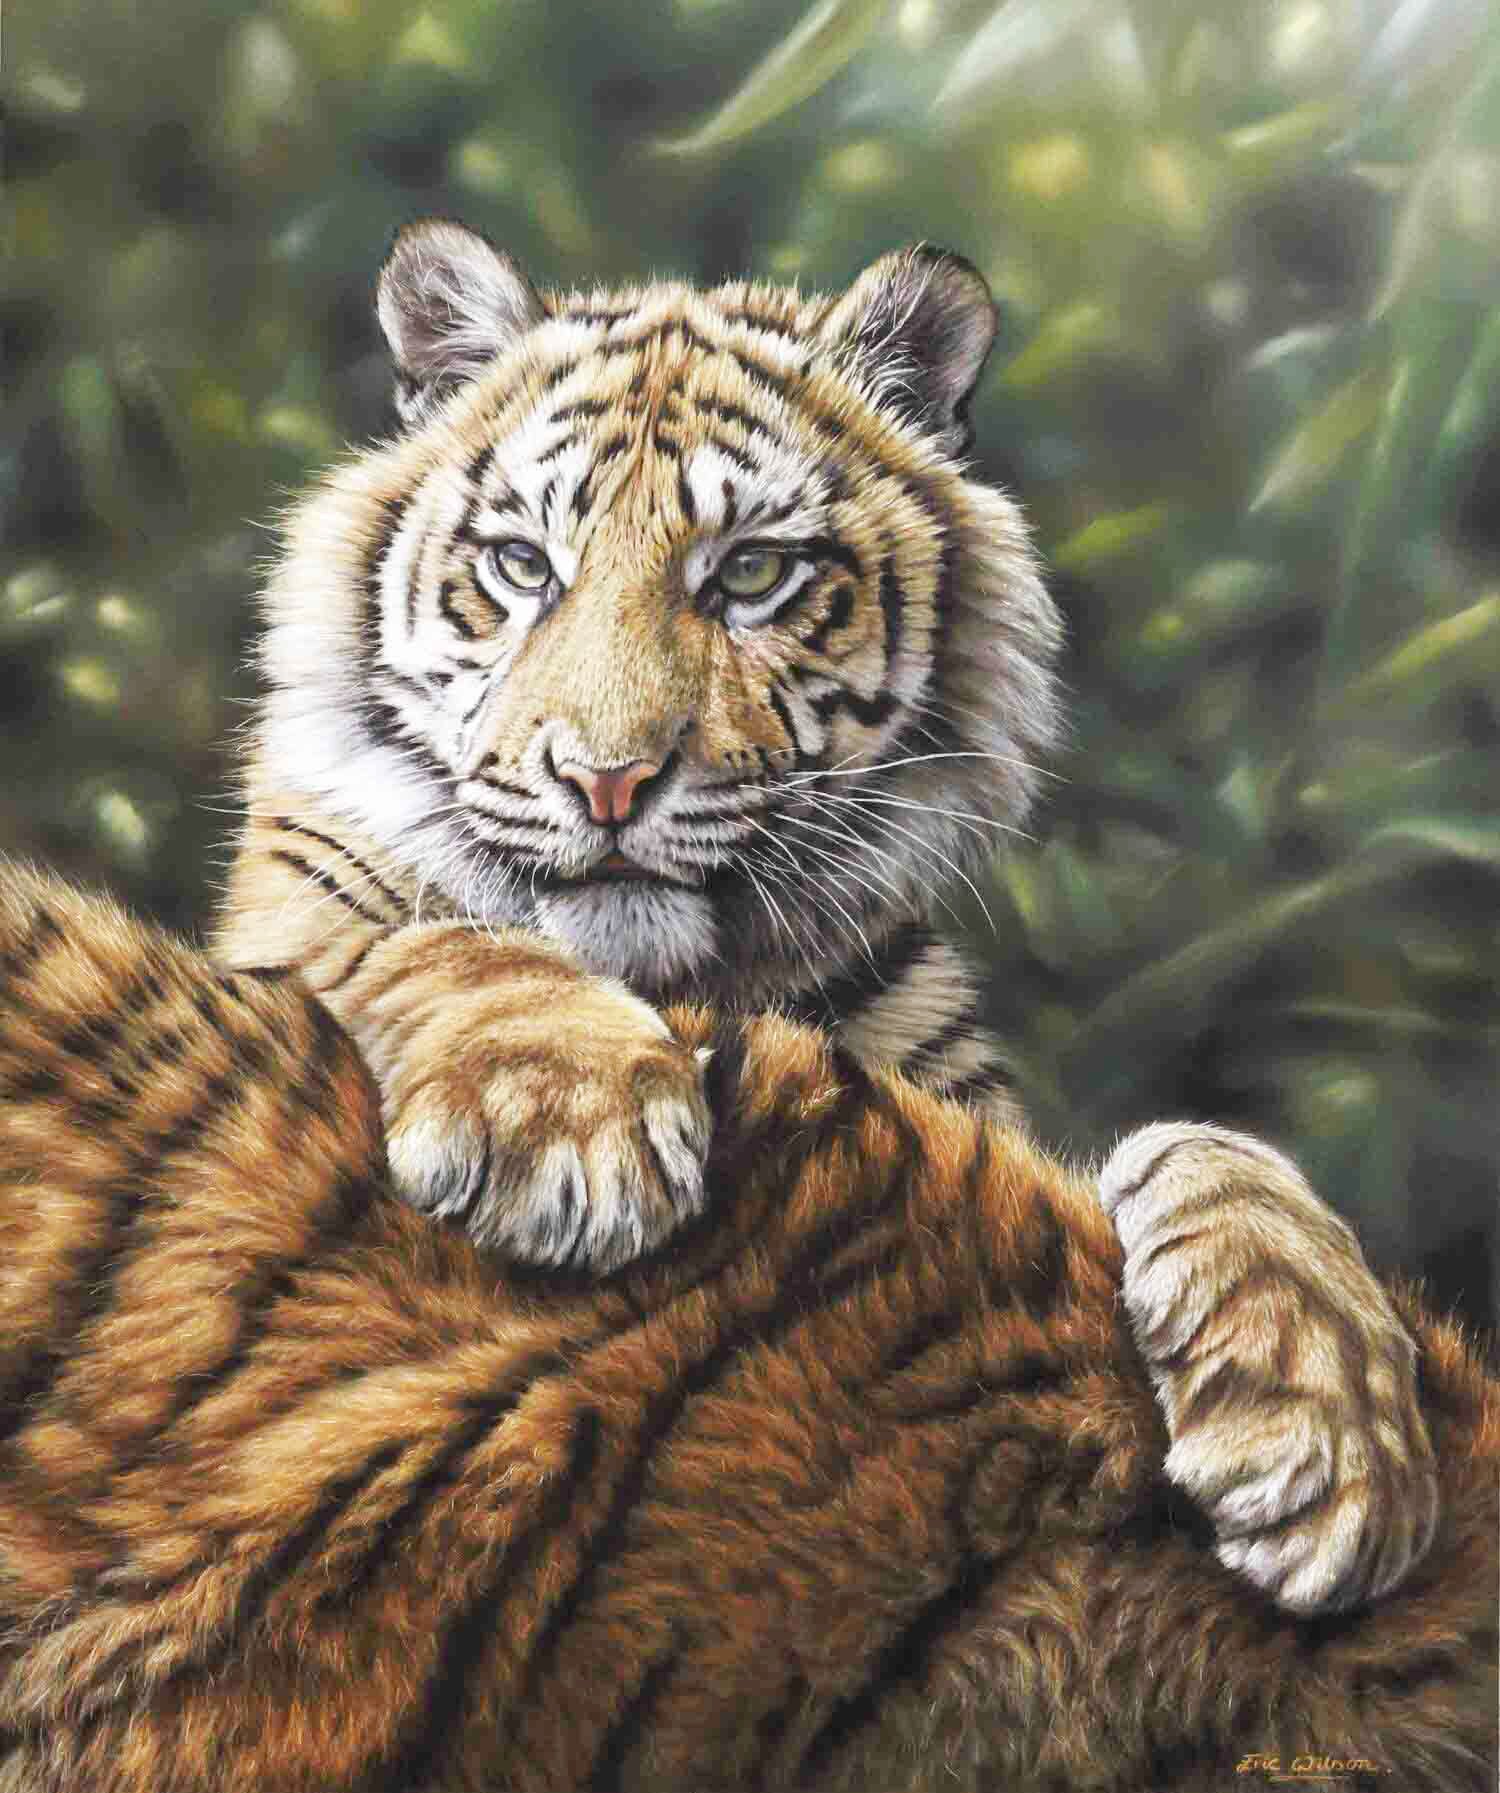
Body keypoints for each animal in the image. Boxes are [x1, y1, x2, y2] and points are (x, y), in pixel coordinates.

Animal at [210, 219, 1441, 1622]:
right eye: (522, 565)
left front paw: (1332, 1439)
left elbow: (1209, 1145)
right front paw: (564, 1128)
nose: (608, 780)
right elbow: (436, 936)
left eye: (752, 572)